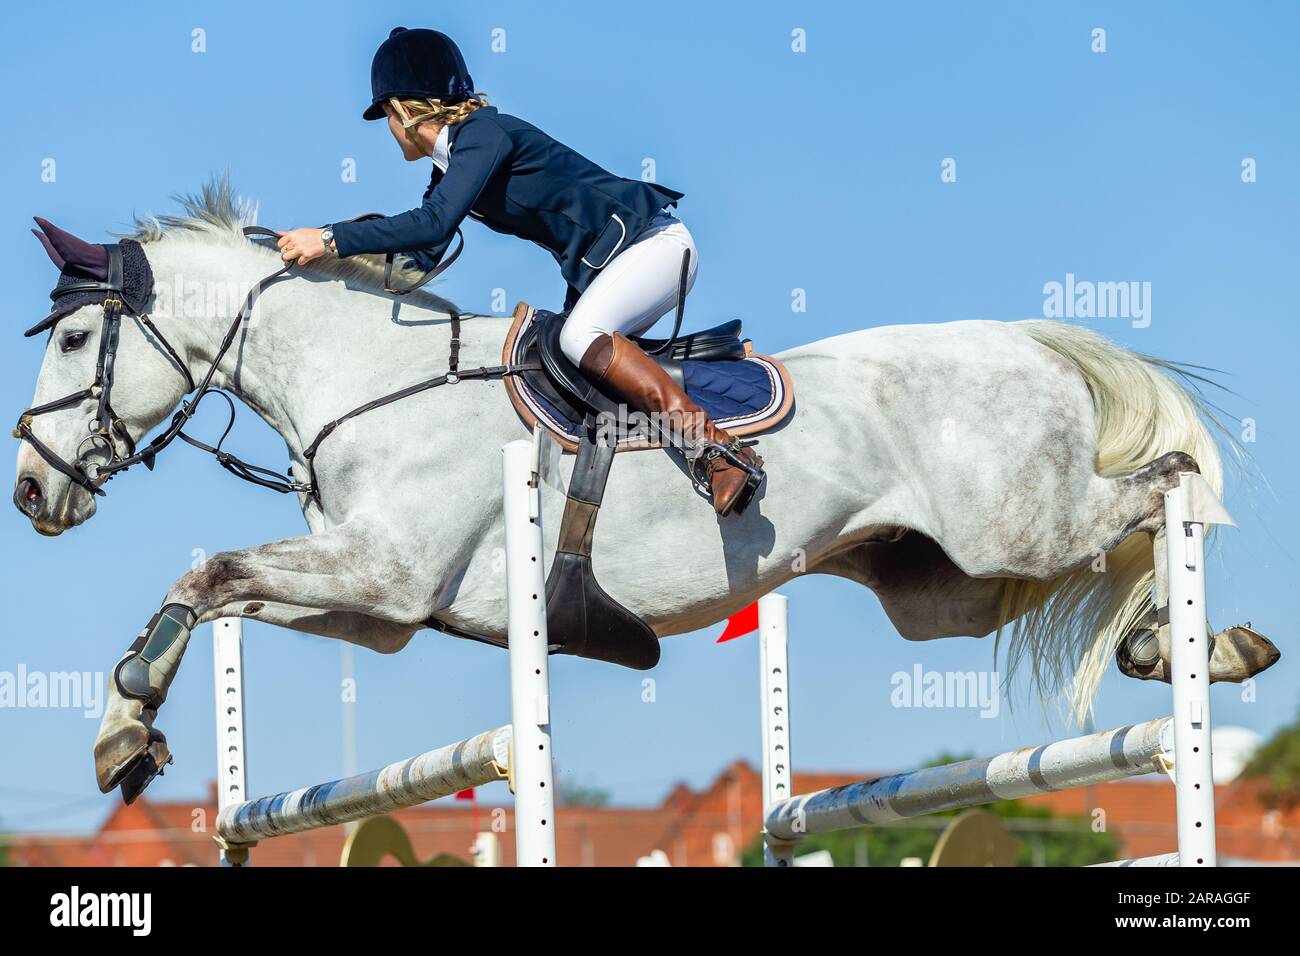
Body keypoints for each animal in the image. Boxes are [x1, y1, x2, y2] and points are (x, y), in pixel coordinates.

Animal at [12, 181, 1276, 802]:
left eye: (72, 337)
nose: (29, 490)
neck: (370, 377)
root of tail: (1025, 341)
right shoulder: (377, 606)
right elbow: (218, 583)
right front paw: (127, 732)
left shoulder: (385, 569)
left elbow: (209, 569)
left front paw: (124, 719)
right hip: (947, 586)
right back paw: (1174, 645)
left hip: (1015, 523)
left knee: (1164, 492)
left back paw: (1206, 639)